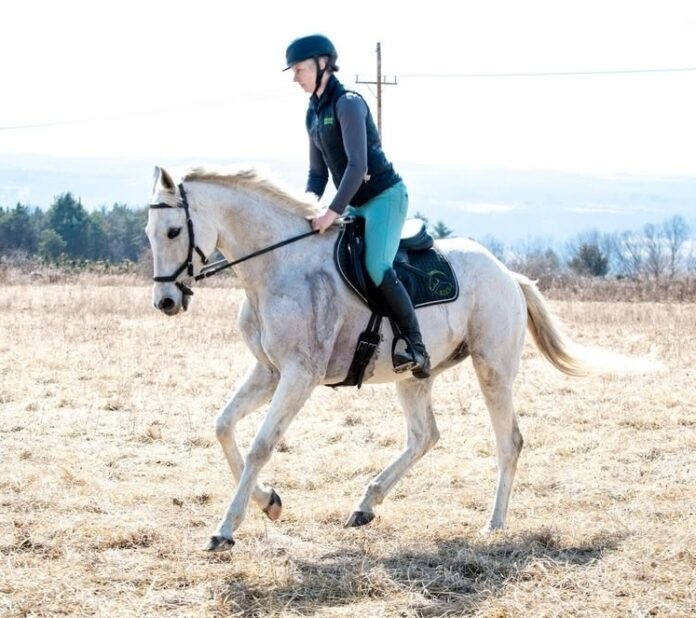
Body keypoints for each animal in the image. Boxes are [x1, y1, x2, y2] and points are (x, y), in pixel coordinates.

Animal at [145, 165, 644, 552]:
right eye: (149, 234)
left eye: (174, 231)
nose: (166, 302)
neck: (278, 267)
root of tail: (508, 272)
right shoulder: (268, 371)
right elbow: (223, 425)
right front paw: (269, 502)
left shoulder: (299, 375)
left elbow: (261, 445)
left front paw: (225, 530)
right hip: (415, 375)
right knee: (425, 435)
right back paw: (365, 505)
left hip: (493, 370)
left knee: (509, 442)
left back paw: (494, 524)